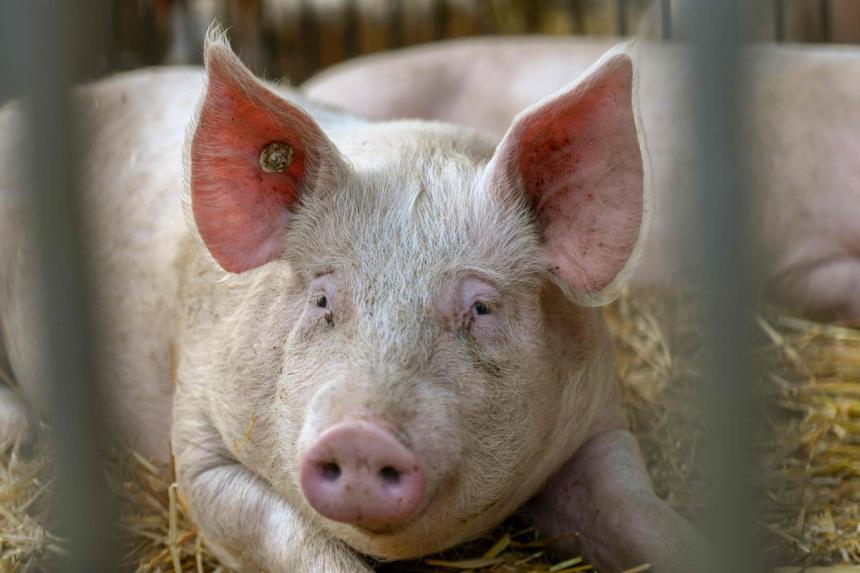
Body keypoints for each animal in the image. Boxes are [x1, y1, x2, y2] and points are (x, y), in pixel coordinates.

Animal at [0, 30, 707, 572]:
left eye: (481, 308)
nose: (364, 435)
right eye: (321, 298)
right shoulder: (197, 445)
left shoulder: (601, 427)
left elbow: (641, 514)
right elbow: (297, 542)